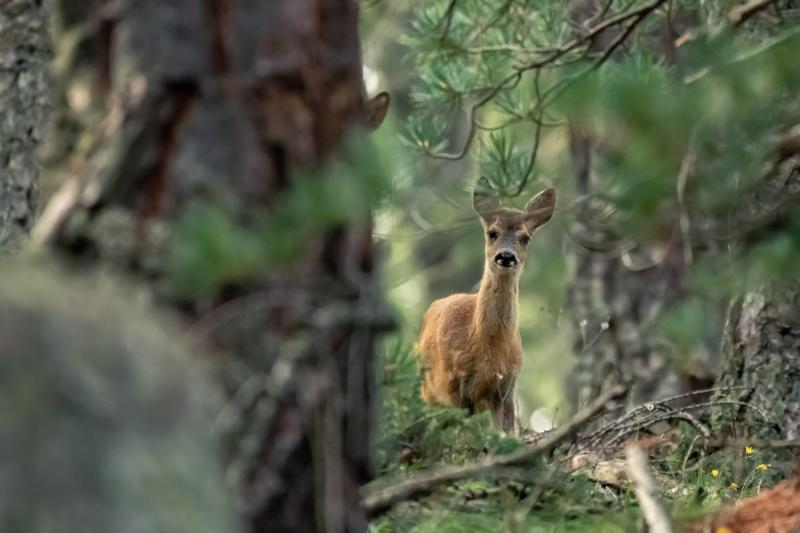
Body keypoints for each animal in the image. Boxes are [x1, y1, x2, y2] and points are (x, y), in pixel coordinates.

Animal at [416, 177, 557, 434]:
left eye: (525, 237)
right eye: (492, 233)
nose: (506, 256)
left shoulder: (508, 385)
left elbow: (507, 432)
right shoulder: (456, 384)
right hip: (429, 391)